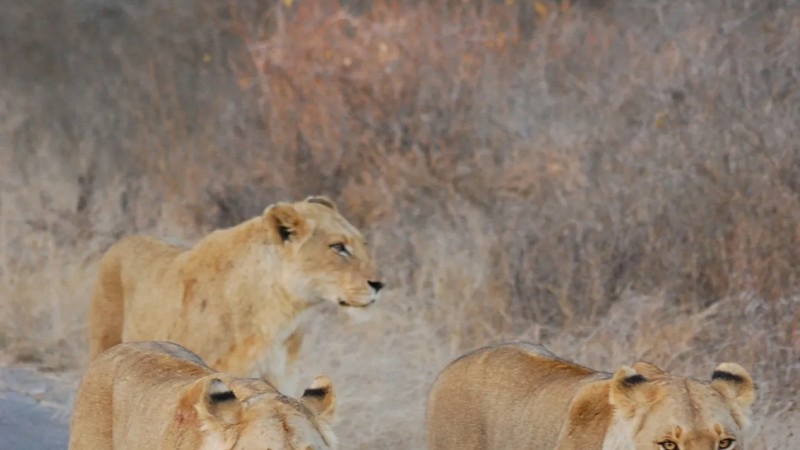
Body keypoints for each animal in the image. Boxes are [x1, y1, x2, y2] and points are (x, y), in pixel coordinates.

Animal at [88, 196, 383, 394]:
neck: (279, 315)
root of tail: (123, 240)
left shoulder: (280, 381)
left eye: (363, 243)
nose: (379, 284)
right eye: (338, 247)